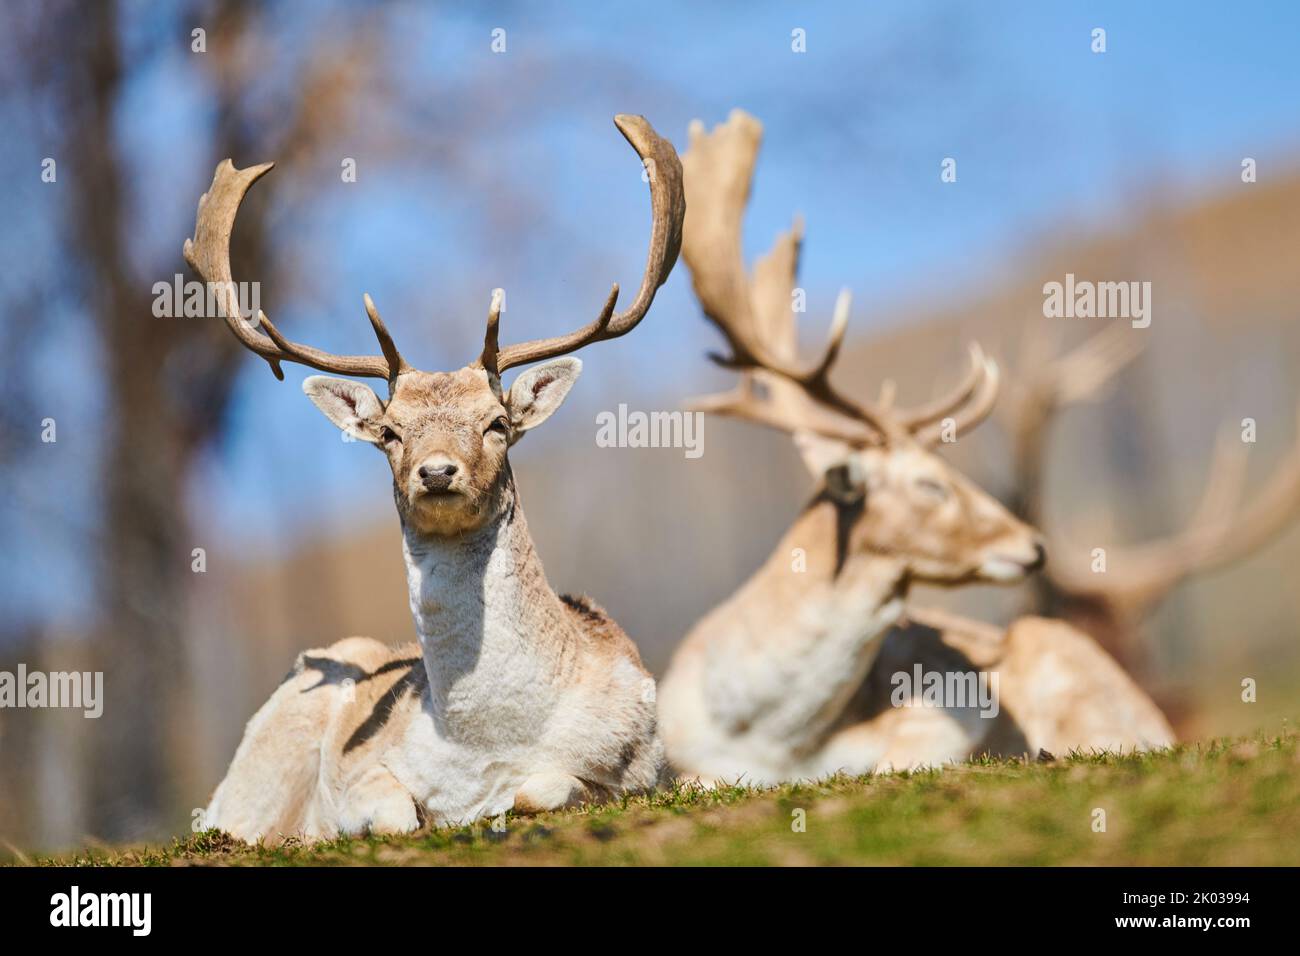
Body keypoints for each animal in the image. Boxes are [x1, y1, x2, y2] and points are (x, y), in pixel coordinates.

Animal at [186, 115, 686, 842]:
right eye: (390, 433)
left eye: (498, 423)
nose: (438, 472)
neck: (489, 742)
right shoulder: (367, 771)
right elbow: (394, 812)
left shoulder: (642, 765)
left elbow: (548, 787)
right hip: (259, 765)